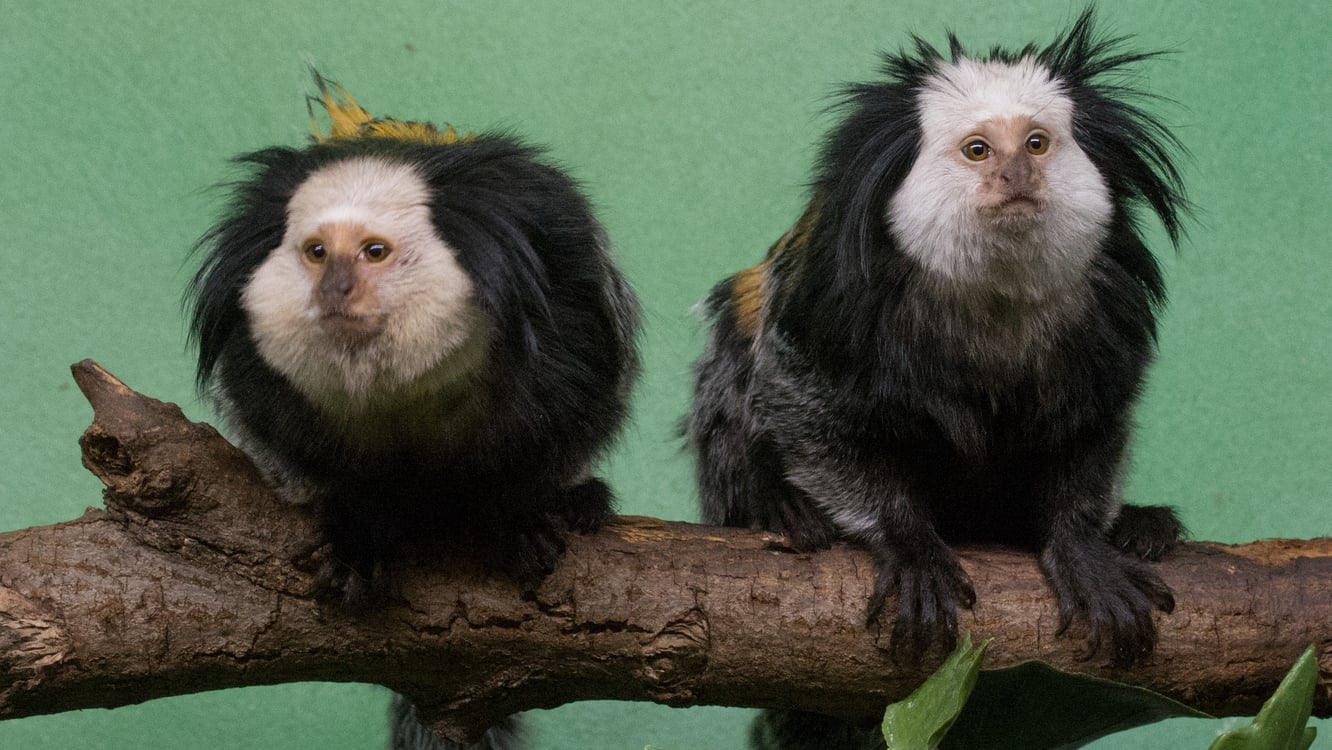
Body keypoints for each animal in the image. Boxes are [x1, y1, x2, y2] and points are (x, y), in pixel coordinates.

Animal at [187, 74, 640, 750]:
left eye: (373, 252)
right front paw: (356, 530)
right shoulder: (262, 383)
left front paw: (519, 514)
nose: (335, 289)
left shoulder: (567, 314)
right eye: (316, 253)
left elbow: (557, 430)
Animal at [688, 10, 1188, 744]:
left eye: (1036, 143)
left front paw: (1082, 543)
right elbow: (803, 408)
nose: (1016, 173)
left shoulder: (1107, 317)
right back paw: (778, 508)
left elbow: (1091, 432)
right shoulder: (830, 314)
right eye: (978, 150)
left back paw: (1143, 525)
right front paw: (907, 541)